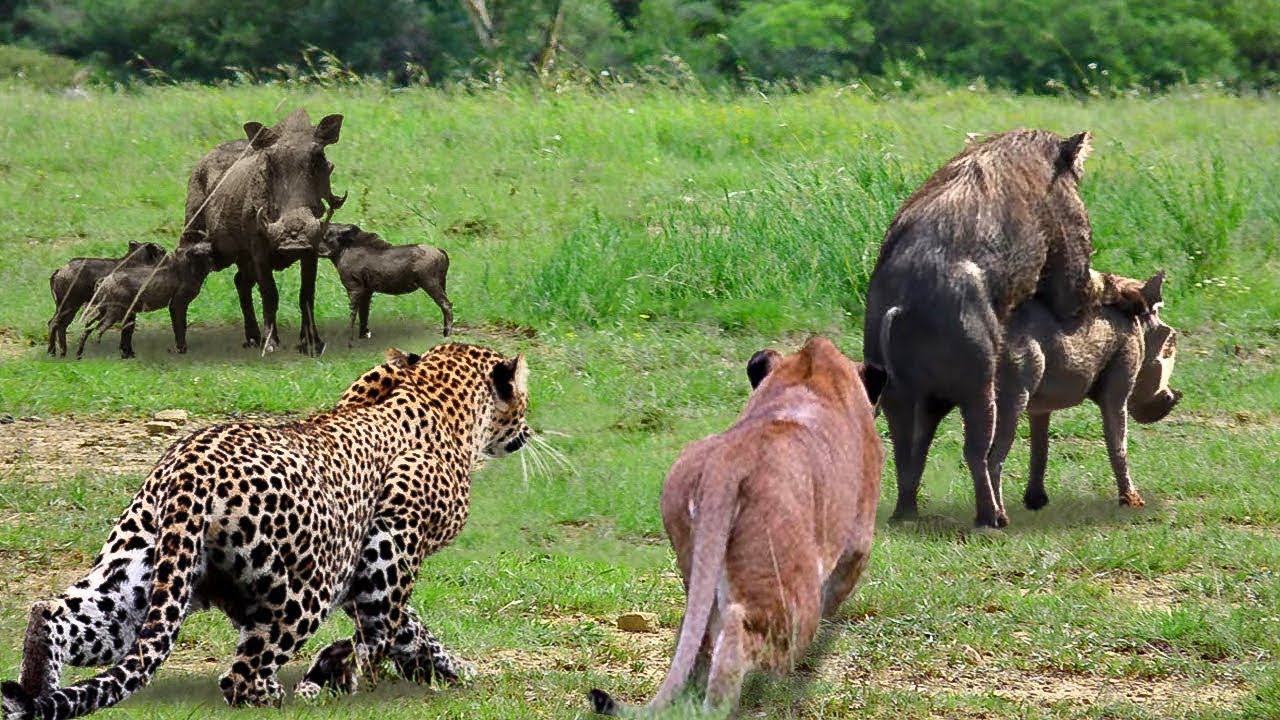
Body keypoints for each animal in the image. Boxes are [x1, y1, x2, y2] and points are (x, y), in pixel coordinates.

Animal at [2, 342, 531, 720]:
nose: (528, 431)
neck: (433, 394)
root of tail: (190, 472)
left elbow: (410, 629)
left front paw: (450, 669)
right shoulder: (390, 546)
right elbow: (385, 625)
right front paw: (336, 670)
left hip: (134, 580)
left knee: (50, 616)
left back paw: (32, 693)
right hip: (303, 592)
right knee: (241, 677)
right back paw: (288, 696)